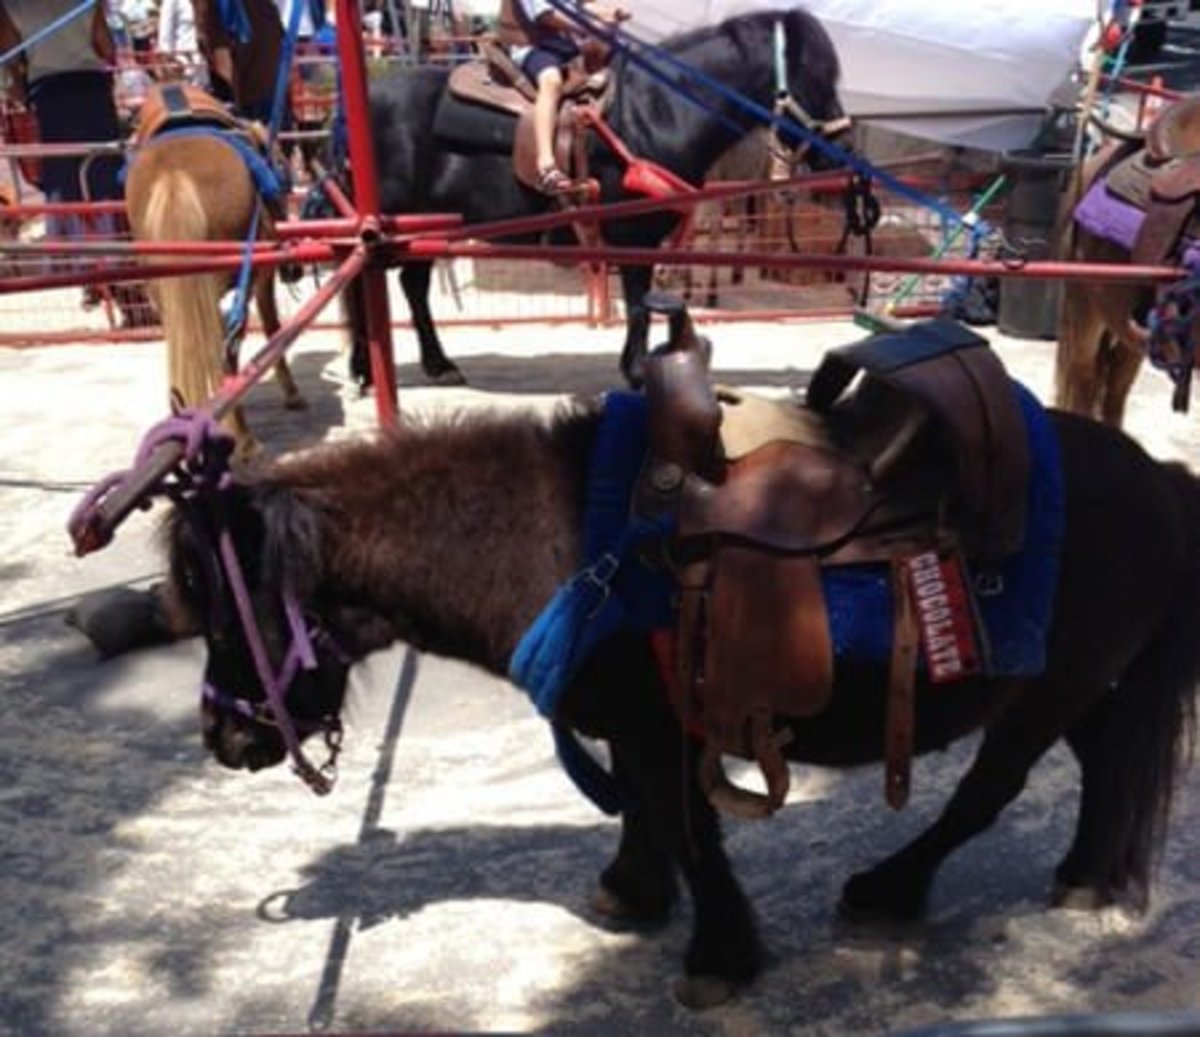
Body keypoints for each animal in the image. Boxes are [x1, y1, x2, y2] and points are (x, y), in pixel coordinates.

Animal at [124, 93, 306, 460]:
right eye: (282, 173)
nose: (294, 270)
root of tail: (174, 174)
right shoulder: (261, 277)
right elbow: (273, 327)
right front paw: (292, 394)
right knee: (227, 346)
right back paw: (245, 440)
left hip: (164, 287)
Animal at [163, 344, 1200, 1008]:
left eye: (227, 609)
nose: (226, 737)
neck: (559, 538)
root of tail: (1157, 474)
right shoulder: (641, 724)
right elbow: (648, 813)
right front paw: (632, 892)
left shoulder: (664, 726)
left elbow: (687, 827)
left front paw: (719, 956)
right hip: (1074, 685)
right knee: (1107, 762)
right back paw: (1085, 875)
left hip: (1046, 691)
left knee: (992, 789)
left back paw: (890, 889)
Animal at [338, 9, 847, 389]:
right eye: (816, 76)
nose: (839, 149)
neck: (657, 112)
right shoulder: (635, 237)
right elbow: (640, 305)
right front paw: (638, 373)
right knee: (368, 286)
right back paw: (370, 370)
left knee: (411, 287)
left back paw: (434, 364)